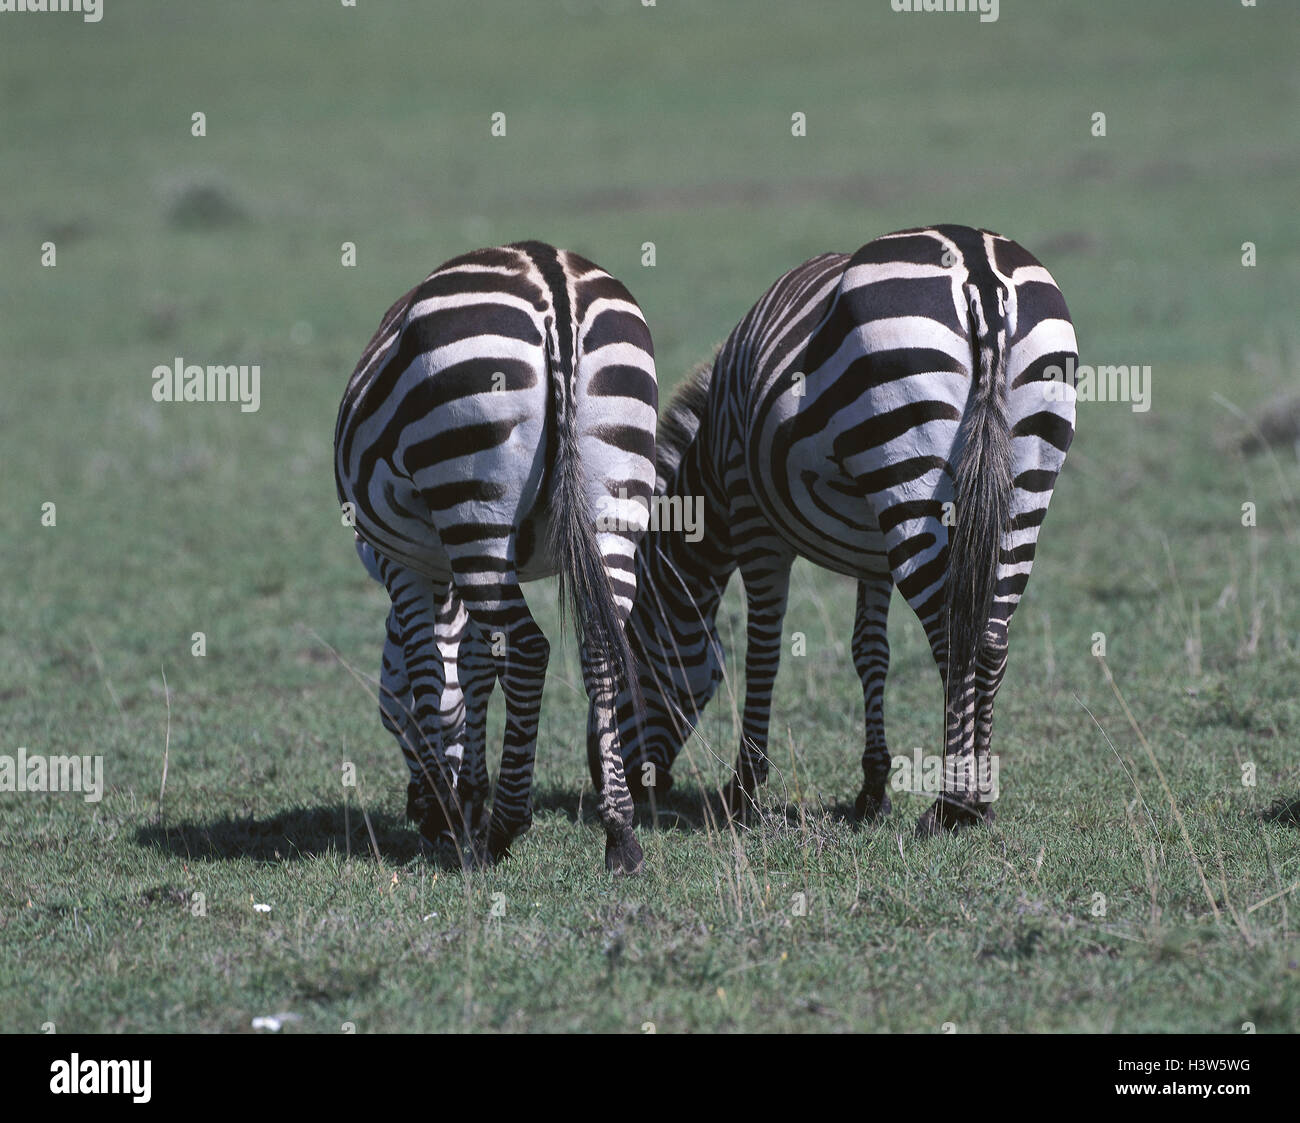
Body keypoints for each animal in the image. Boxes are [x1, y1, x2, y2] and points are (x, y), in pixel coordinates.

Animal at [335, 242, 658, 873]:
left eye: (390, 714)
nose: (415, 809)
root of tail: (553, 280)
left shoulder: (407, 565)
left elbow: (430, 672)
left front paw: (450, 810)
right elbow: (478, 664)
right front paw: (468, 797)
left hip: (471, 500)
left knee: (531, 649)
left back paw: (505, 828)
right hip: (615, 509)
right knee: (600, 648)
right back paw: (619, 832)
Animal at [618, 225, 1077, 835]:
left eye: (629, 671)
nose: (625, 783)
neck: (713, 456)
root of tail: (978, 269)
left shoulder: (753, 520)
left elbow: (764, 650)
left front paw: (743, 789)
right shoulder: (873, 552)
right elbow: (869, 652)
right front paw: (872, 789)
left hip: (908, 463)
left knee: (951, 636)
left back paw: (951, 805)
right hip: (1022, 484)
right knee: (989, 638)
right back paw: (981, 797)